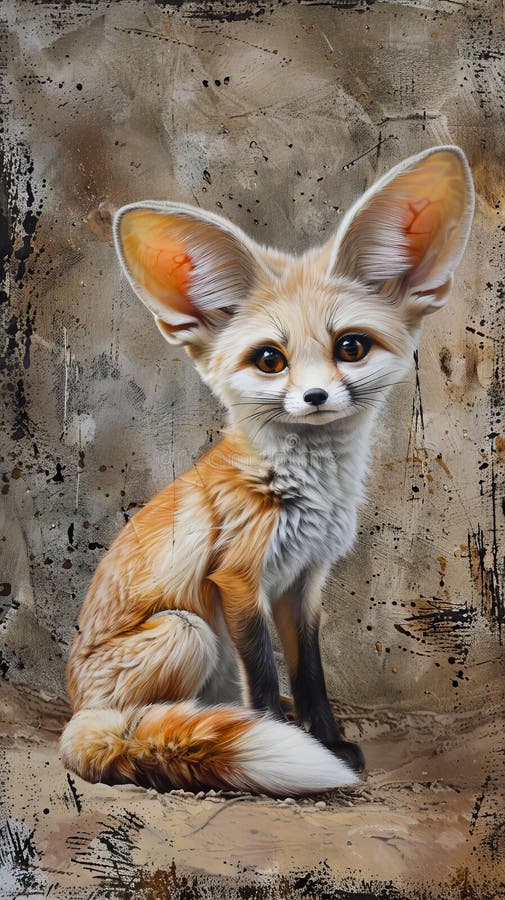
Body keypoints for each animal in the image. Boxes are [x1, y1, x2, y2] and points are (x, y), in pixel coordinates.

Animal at [60, 146, 474, 796]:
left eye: (351, 347)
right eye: (269, 360)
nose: (315, 397)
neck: (307, 492)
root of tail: (77, 713)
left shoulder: (303, 584)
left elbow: (309, 676)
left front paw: (327, 741)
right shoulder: (238, 579)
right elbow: (263, 675)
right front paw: (284, 737)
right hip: (187, 631)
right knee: (153, 717)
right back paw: (180, 734)